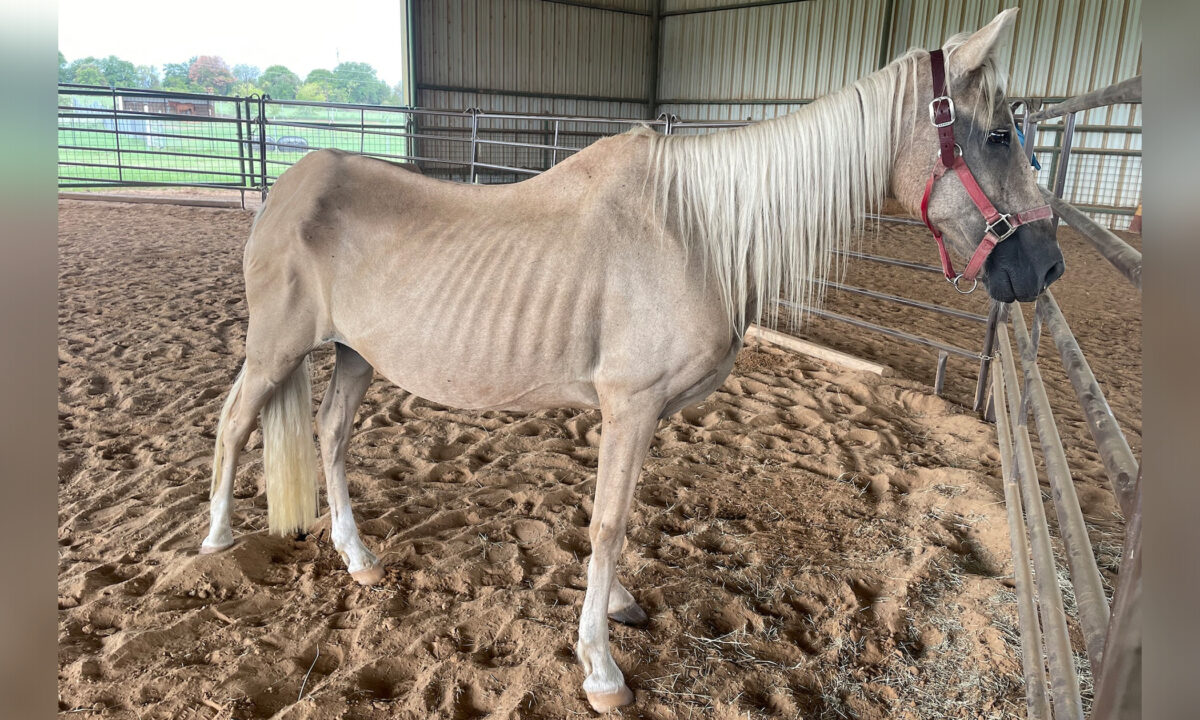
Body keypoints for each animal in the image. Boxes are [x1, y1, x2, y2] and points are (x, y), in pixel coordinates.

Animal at [199, 9, 1063, 712]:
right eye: (996, 135)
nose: (1044, 268)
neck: (695, 230)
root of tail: (292, 185)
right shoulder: (632, 403)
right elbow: (609, 523)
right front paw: (601, 669)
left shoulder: (642, 414)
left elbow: (624, 515)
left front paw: (616, 608)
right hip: (276, 347)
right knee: (234, 425)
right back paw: (214, 547)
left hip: (354, 355)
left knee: (332, 436)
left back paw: (358, 558)